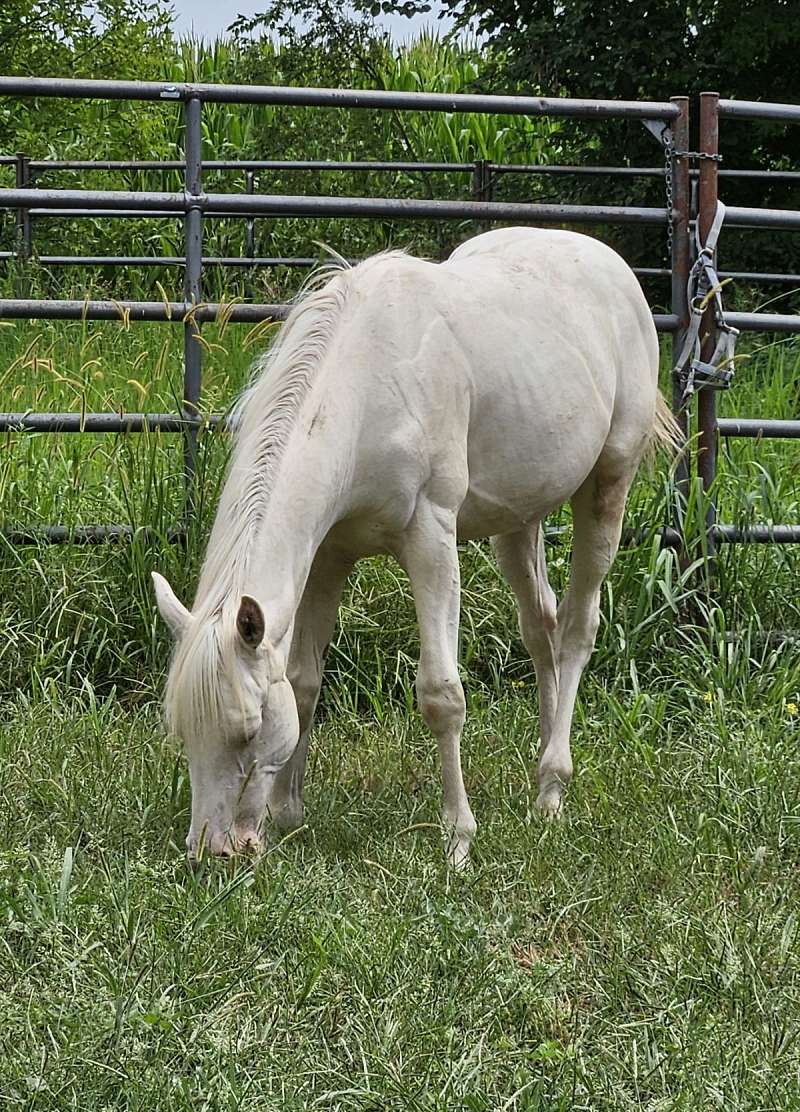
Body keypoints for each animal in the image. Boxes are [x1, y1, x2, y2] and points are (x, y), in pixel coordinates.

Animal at [153, 226, 676, 867]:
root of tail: (609, 263)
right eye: (184, 731)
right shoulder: (328, 555)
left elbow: (441, 695)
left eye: (248, 732)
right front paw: (288, 814)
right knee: (541, 628)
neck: (367, 382)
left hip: (607, 485)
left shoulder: (431, 537)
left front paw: (458, 839)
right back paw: (539, 777)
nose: (213, 853)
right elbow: (303, 682)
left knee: (578, 628)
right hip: (518, 517)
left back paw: (553, 785)